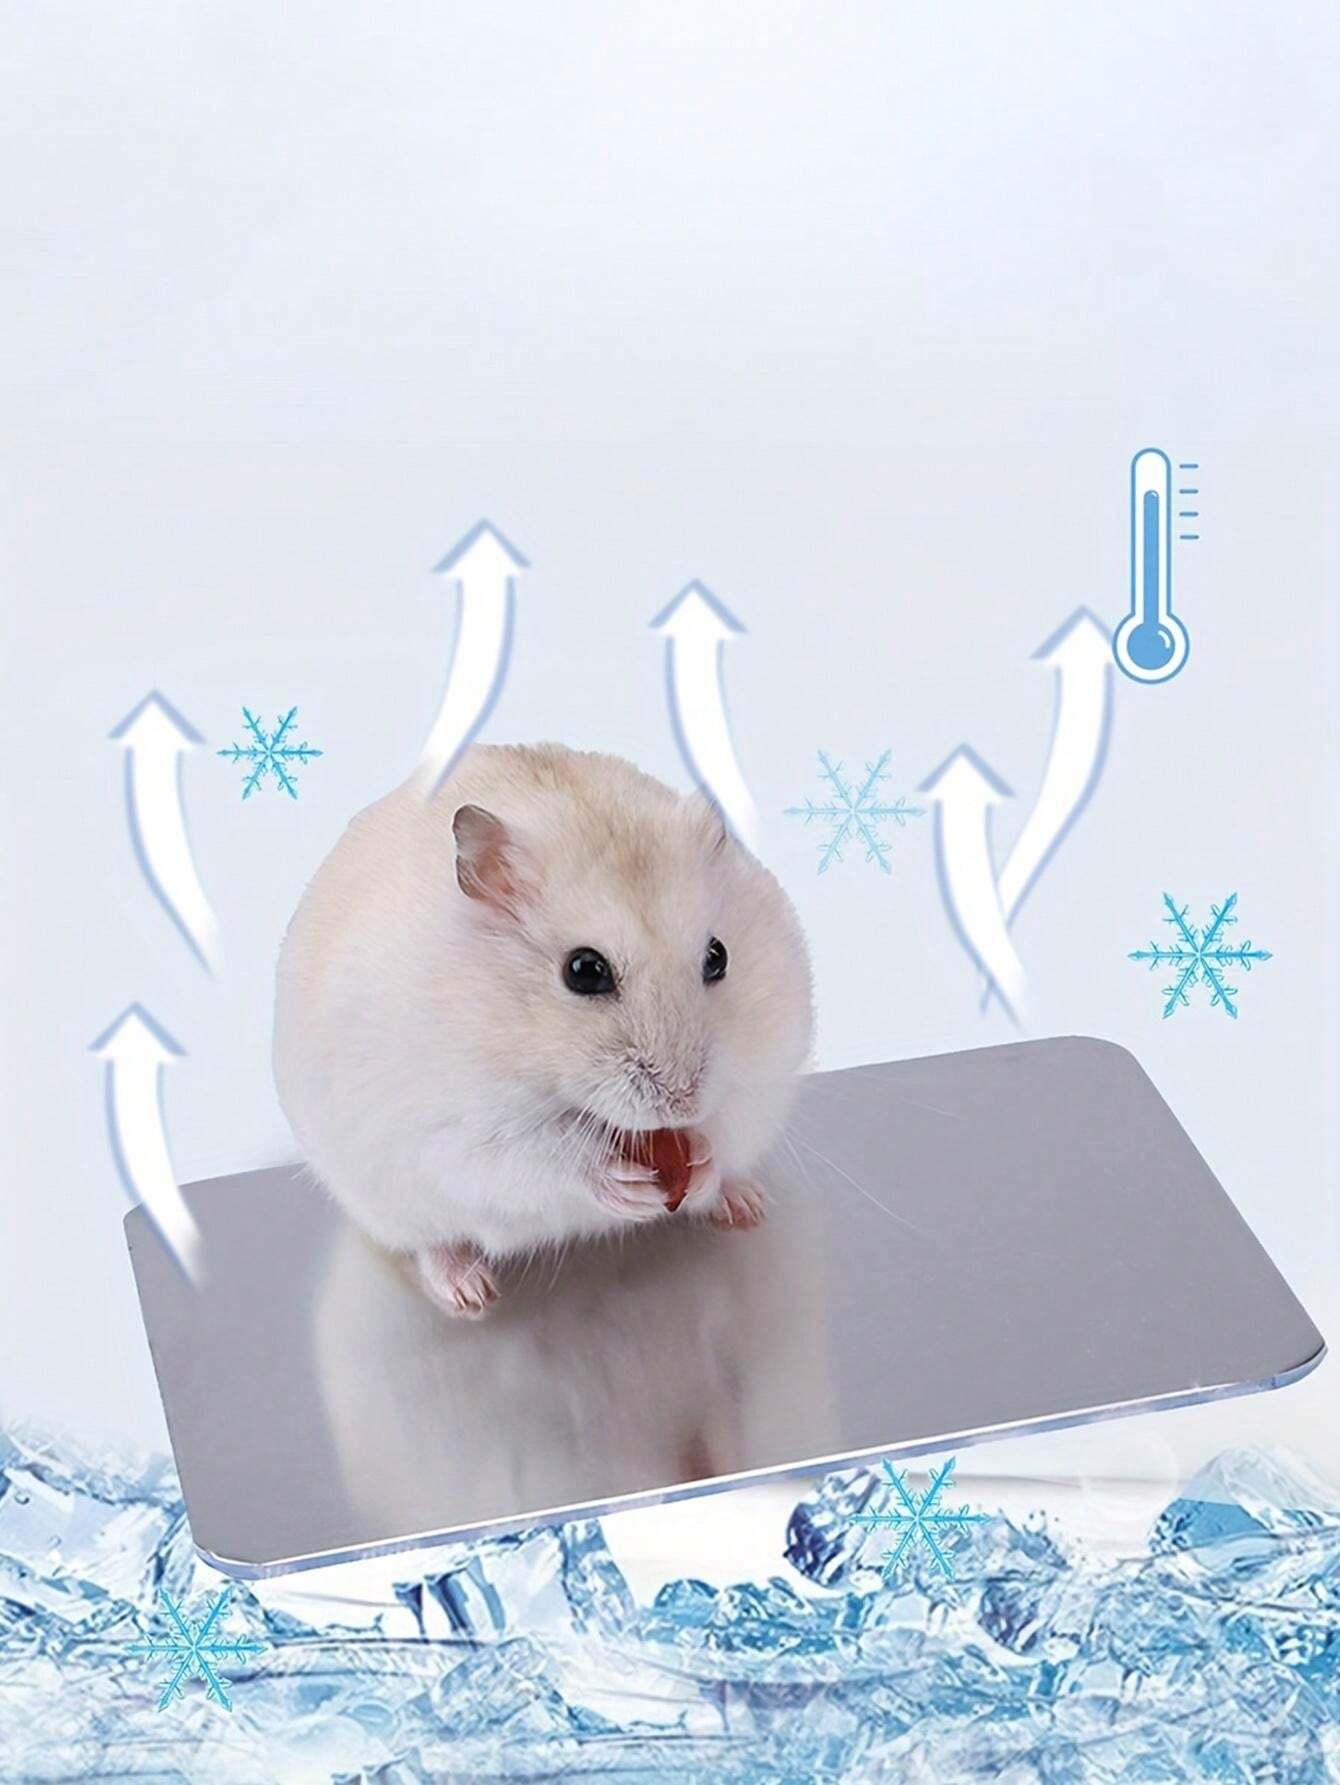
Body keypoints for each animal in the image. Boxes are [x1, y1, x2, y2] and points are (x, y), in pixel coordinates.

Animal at [273, 743, 815, 1316]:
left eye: (718, 957)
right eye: (584, 971)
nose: (683, 1103)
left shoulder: (763, 1076)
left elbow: (729, 1120)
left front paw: (706, 1159)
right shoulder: (456, 1130)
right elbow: (540, 1155)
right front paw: (625, 1184)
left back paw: (745, 1204)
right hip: (390, 1202)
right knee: (432, 1243)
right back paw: (469, 1292)